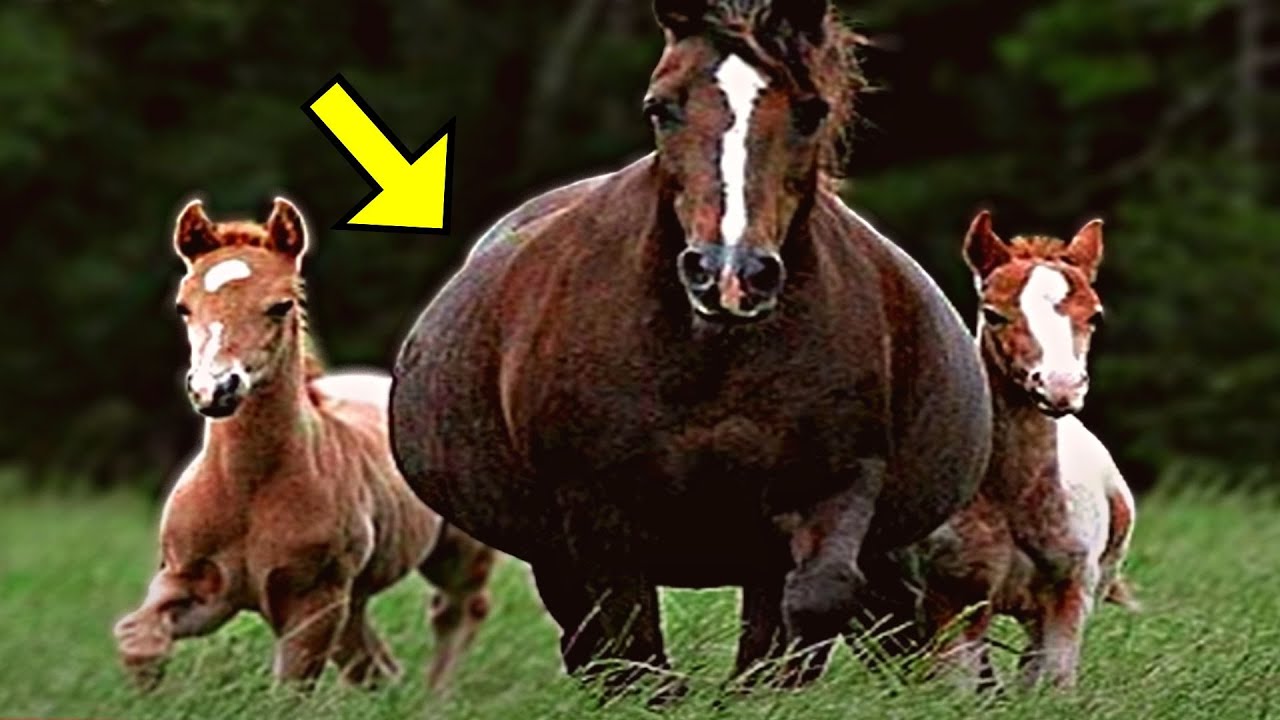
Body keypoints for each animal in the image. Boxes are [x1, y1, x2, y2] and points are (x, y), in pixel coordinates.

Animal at [112, 198, 495, 692]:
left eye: (281, 306)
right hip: (355, 597)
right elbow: (137, 638)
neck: (250, 488)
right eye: (183, 307)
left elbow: (291, 688)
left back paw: (437, 697)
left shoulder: (314, 602)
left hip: (455, 554)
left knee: (457, 610)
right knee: (374, 663)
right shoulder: (197, 584)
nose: (215, 390)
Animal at [389, 0, 992, 697]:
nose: (730, 274)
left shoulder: (836, 482)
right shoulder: (597, 510)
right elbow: (630, 644)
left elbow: (814, 604)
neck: (713, 357)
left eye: (811, 110)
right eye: (661, 107)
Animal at [917, 210, 1139, 691]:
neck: (1013, 499)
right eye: (994, 314)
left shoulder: (1068, 596)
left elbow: (1053, 682)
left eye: (1095, 315)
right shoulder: (954, 597)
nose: (1060, 388)